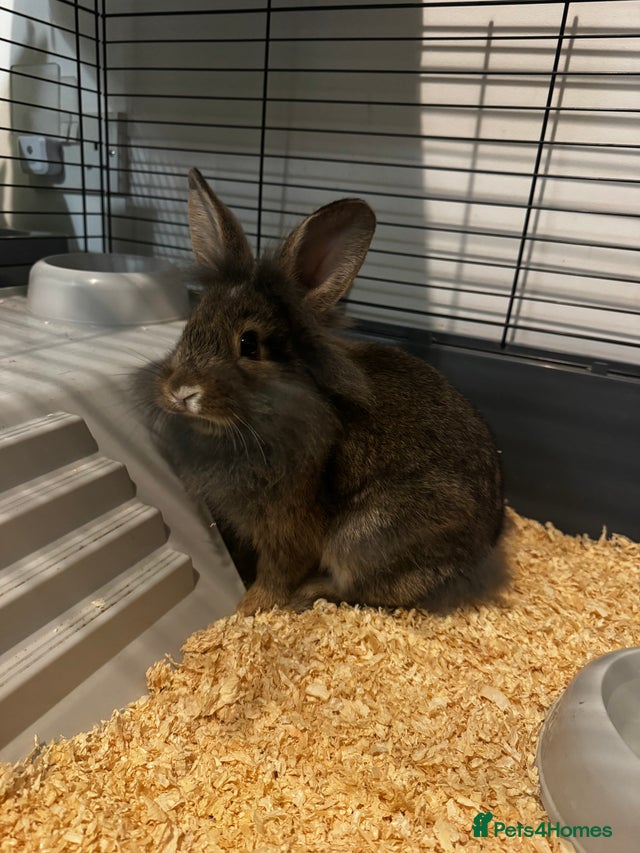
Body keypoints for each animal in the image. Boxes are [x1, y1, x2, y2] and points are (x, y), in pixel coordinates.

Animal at [135, 168, 506, 616]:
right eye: (190, 325)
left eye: (249, 345)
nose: (181, 391)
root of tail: (484, 546)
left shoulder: (290, 529)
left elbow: (278, 572)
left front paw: (249, 607)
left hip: (365, 537)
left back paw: (310, 594)